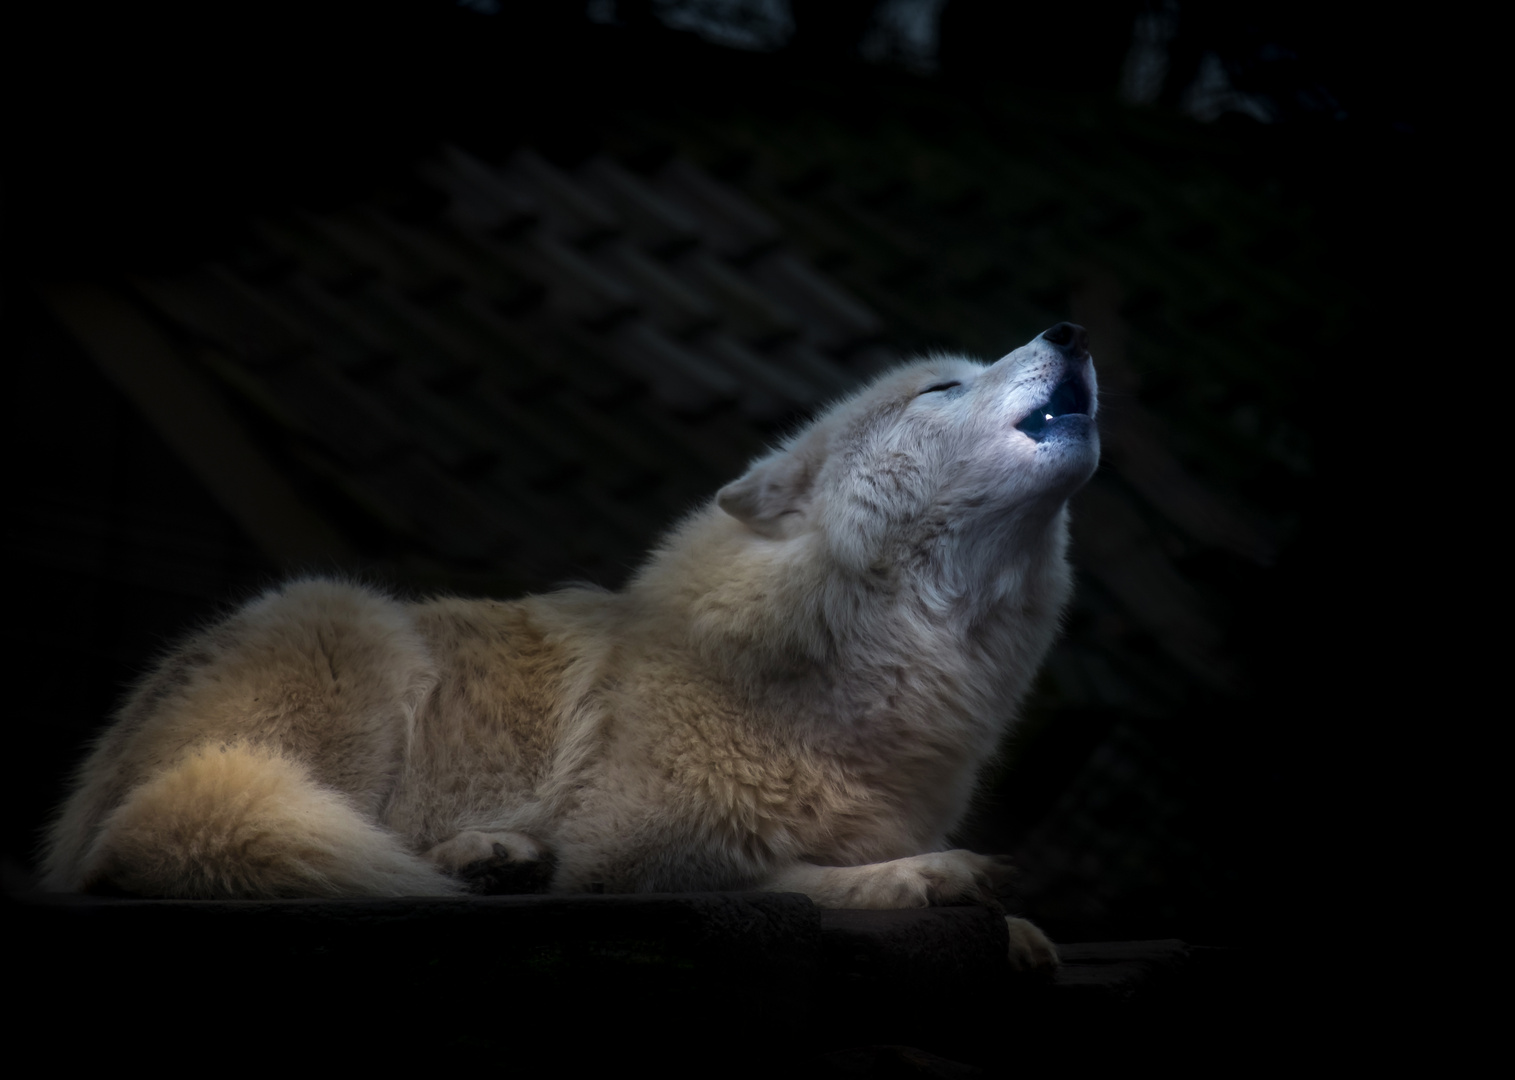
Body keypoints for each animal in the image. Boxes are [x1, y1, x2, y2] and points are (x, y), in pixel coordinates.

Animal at [39, 323, 1098, 969]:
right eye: (943, 387)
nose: (1071, 334)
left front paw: (1016, 927)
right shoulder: (625, 856)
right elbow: (769, 880)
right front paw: (937, 878)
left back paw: (489, 862)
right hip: (345, 629)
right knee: (169, 850)